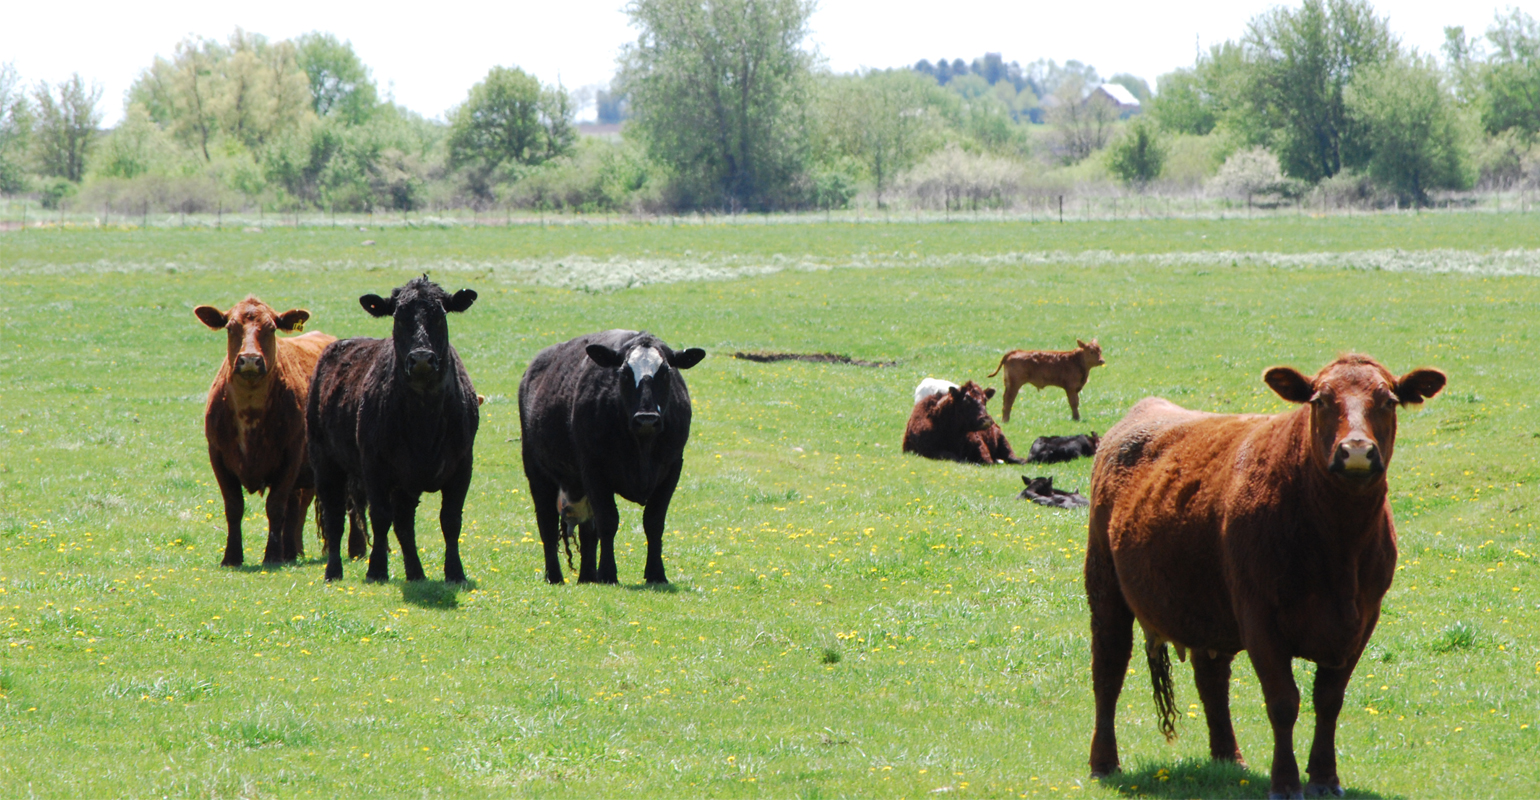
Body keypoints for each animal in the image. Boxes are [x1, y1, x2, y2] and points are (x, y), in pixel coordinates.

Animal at [195, 296, 334, 566]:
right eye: (230, 328)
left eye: (271, 328)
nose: (250, 359)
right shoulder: (217, 455)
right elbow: (234, 506)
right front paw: (232, 556)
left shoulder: (291, 456)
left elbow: (276, 506)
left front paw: (272, 555)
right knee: (298, 507)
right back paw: (293, 551)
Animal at [307, 276, 480, 583]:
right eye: (399, 316)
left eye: (440, 314)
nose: (421, 359)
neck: (425, 420)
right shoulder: (374, 465)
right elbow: (380, 516)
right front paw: (376, 569)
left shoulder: (462, 465)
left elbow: (450, 519)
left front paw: (455, 572)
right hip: (325, 462)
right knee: (335, 517)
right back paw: (333, 570)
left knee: (404, 522)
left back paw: (416, 573)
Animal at [519, 330, 705, 585]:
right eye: (624, 373)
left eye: (666, 372)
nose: (647, 418)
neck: (642, 446)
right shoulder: (594, 469)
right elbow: (608, 521)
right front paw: (608, 573)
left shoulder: (672, 468)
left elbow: (654, 522)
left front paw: (656, 573)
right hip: (538, 473)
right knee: (547, 524)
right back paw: (554, 576)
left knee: (587, 531)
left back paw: (587, 576)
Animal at [1084, 354, 1445, 798]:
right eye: (1320, 401)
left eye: (1389, 401)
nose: (1357, 451)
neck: (1337, 545)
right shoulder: (1259, 617)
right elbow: (1283, 701)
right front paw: (1285, 780)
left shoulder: (1363, 618)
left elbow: (1329, 699)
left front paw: (1324, 777)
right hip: (1104, 584)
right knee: (1109, 669)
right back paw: (1104, 762)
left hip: (1207, 605)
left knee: (1211, 678)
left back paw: (1228, 757)